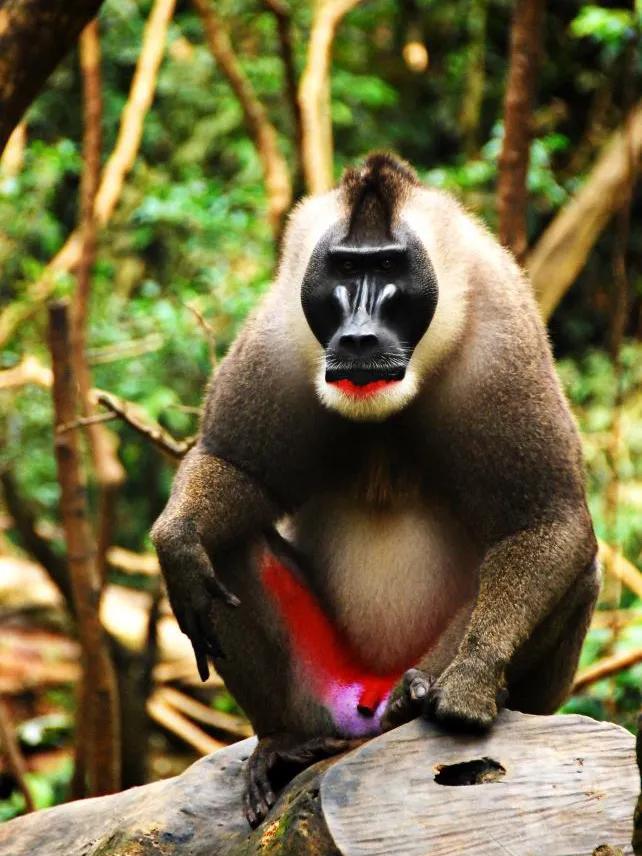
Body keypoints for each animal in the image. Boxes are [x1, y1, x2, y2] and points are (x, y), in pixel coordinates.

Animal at [151, 152, 599, 828]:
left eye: (388, 267)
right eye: (344, 267)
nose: (359, 336)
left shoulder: (503, 344)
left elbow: (549, 519)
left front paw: (469, 683)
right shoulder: (278, 337)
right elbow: (236, 471)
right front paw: (176, 537)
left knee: (582, 572)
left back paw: (407, 703)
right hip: (318, 684)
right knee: (219, 553)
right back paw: (285, 741)